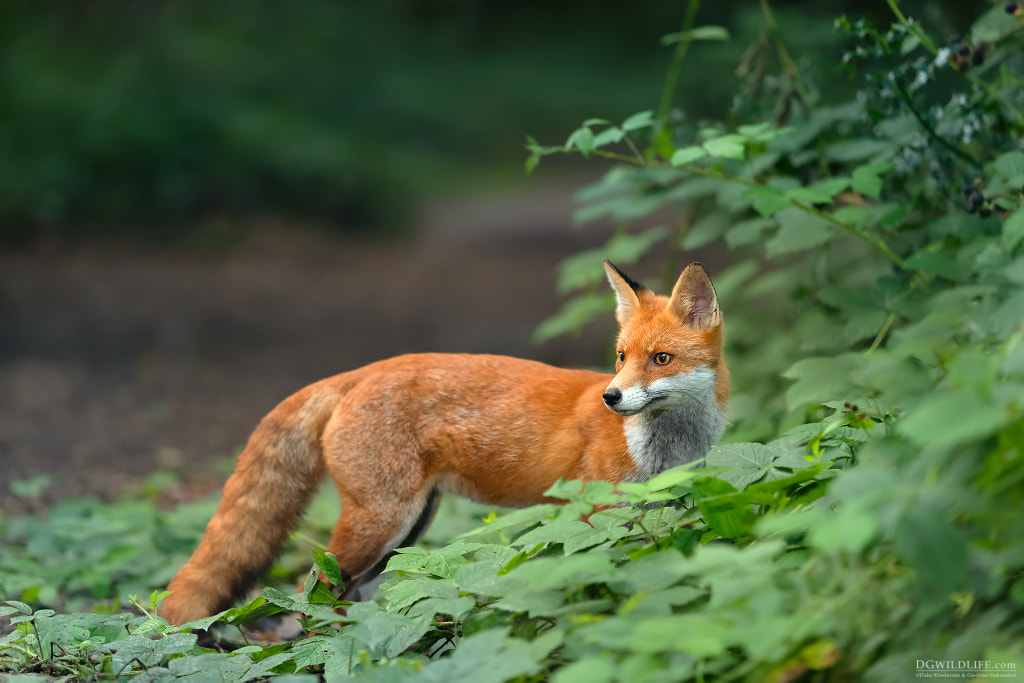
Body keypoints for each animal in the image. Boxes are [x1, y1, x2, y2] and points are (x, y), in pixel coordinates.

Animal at [160, 260, 729, 626]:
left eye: (660, 359)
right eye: (620, 356)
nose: (610, 397)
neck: (667, 447)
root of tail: (359, 372)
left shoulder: (659, 508)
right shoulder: (592, 511)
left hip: (407, 531)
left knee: (357, 597)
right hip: (380, 523)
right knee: (311, 591)